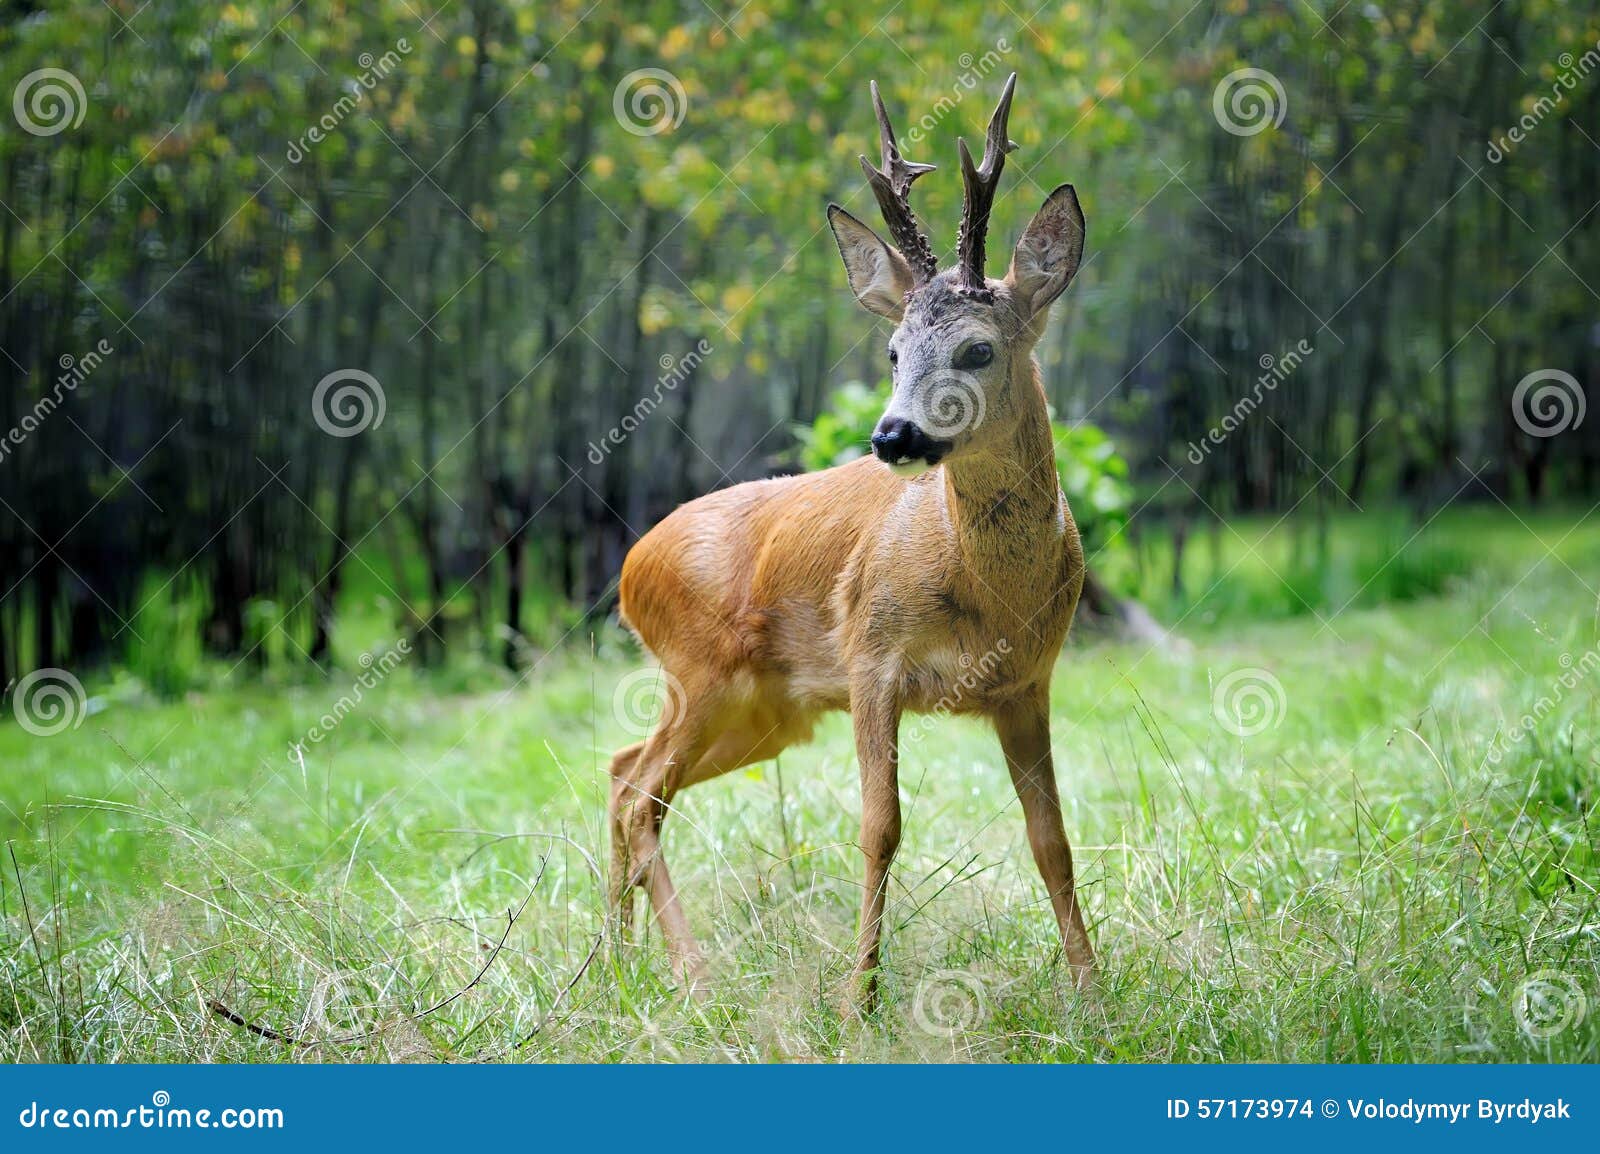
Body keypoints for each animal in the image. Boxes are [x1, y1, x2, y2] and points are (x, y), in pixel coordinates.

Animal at [608, 73, 1092, 1009]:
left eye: (978, 350)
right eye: (895, 349)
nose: (894, 435)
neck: (988, 591)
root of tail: (628, 566)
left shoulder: (1028, 683)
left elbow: (1051, 837)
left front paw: (1093, 986)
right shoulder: (873, 655)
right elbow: (881, 827)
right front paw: (858, 997)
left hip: (763, 711)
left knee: (621, 771)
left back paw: (610, 961)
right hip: (704, 670)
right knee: (643, 792)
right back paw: (693, 972)